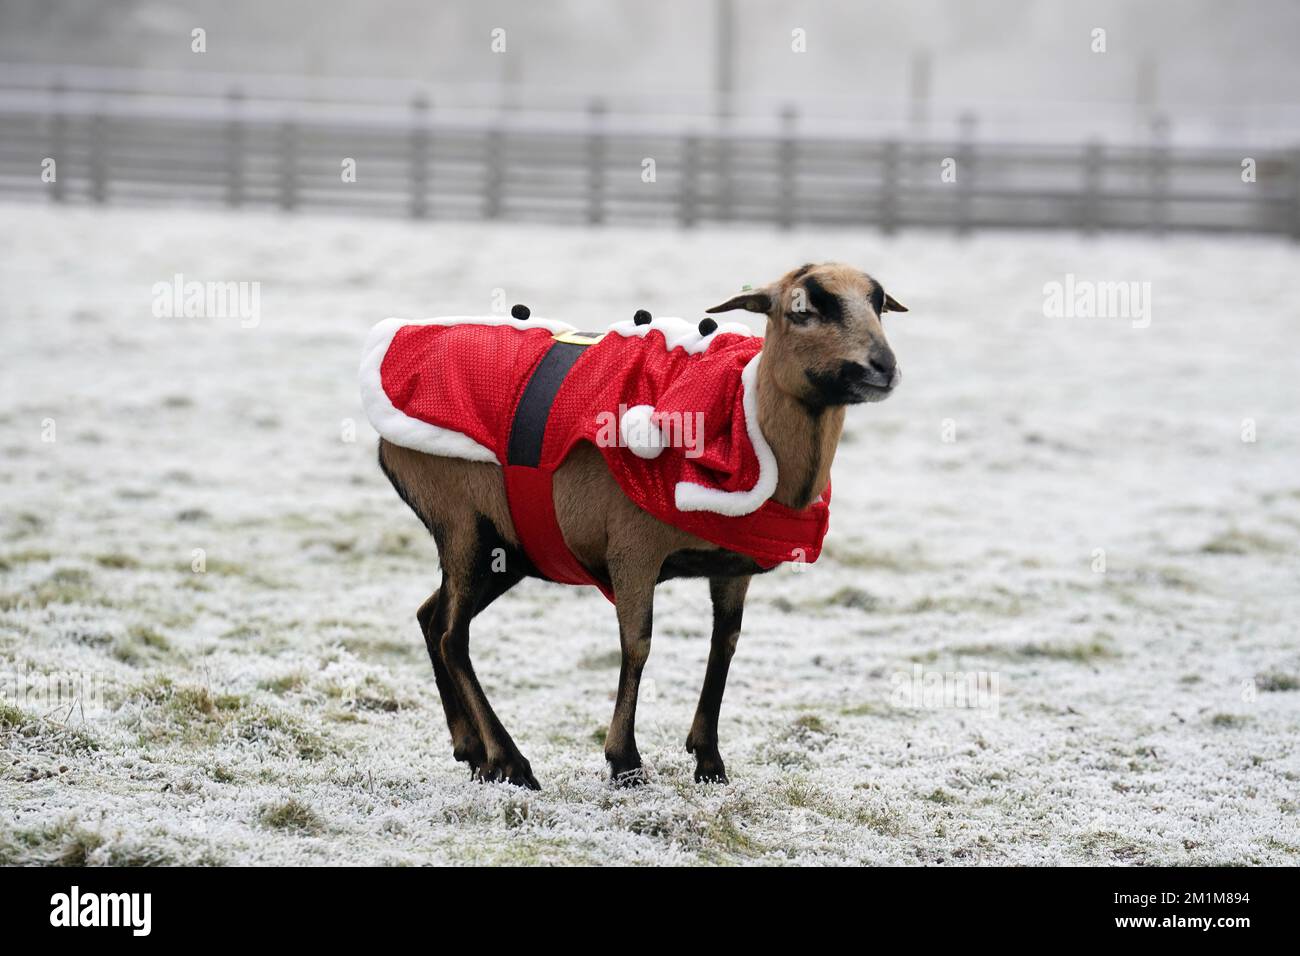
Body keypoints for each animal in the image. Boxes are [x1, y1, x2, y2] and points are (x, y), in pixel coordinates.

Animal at [369, 262, 906, 789]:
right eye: (803, 309)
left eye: (878, 304)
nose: (884, 367)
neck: (746, 424)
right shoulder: (632, 548)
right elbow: (638, 645)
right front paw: (625, 761)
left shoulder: (731, 567)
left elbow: (725, 645)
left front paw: (709, 760)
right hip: (463, 524)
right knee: (451, 636)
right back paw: (509, 761)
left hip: (511, 547)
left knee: (429, 617)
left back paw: (472, 751)